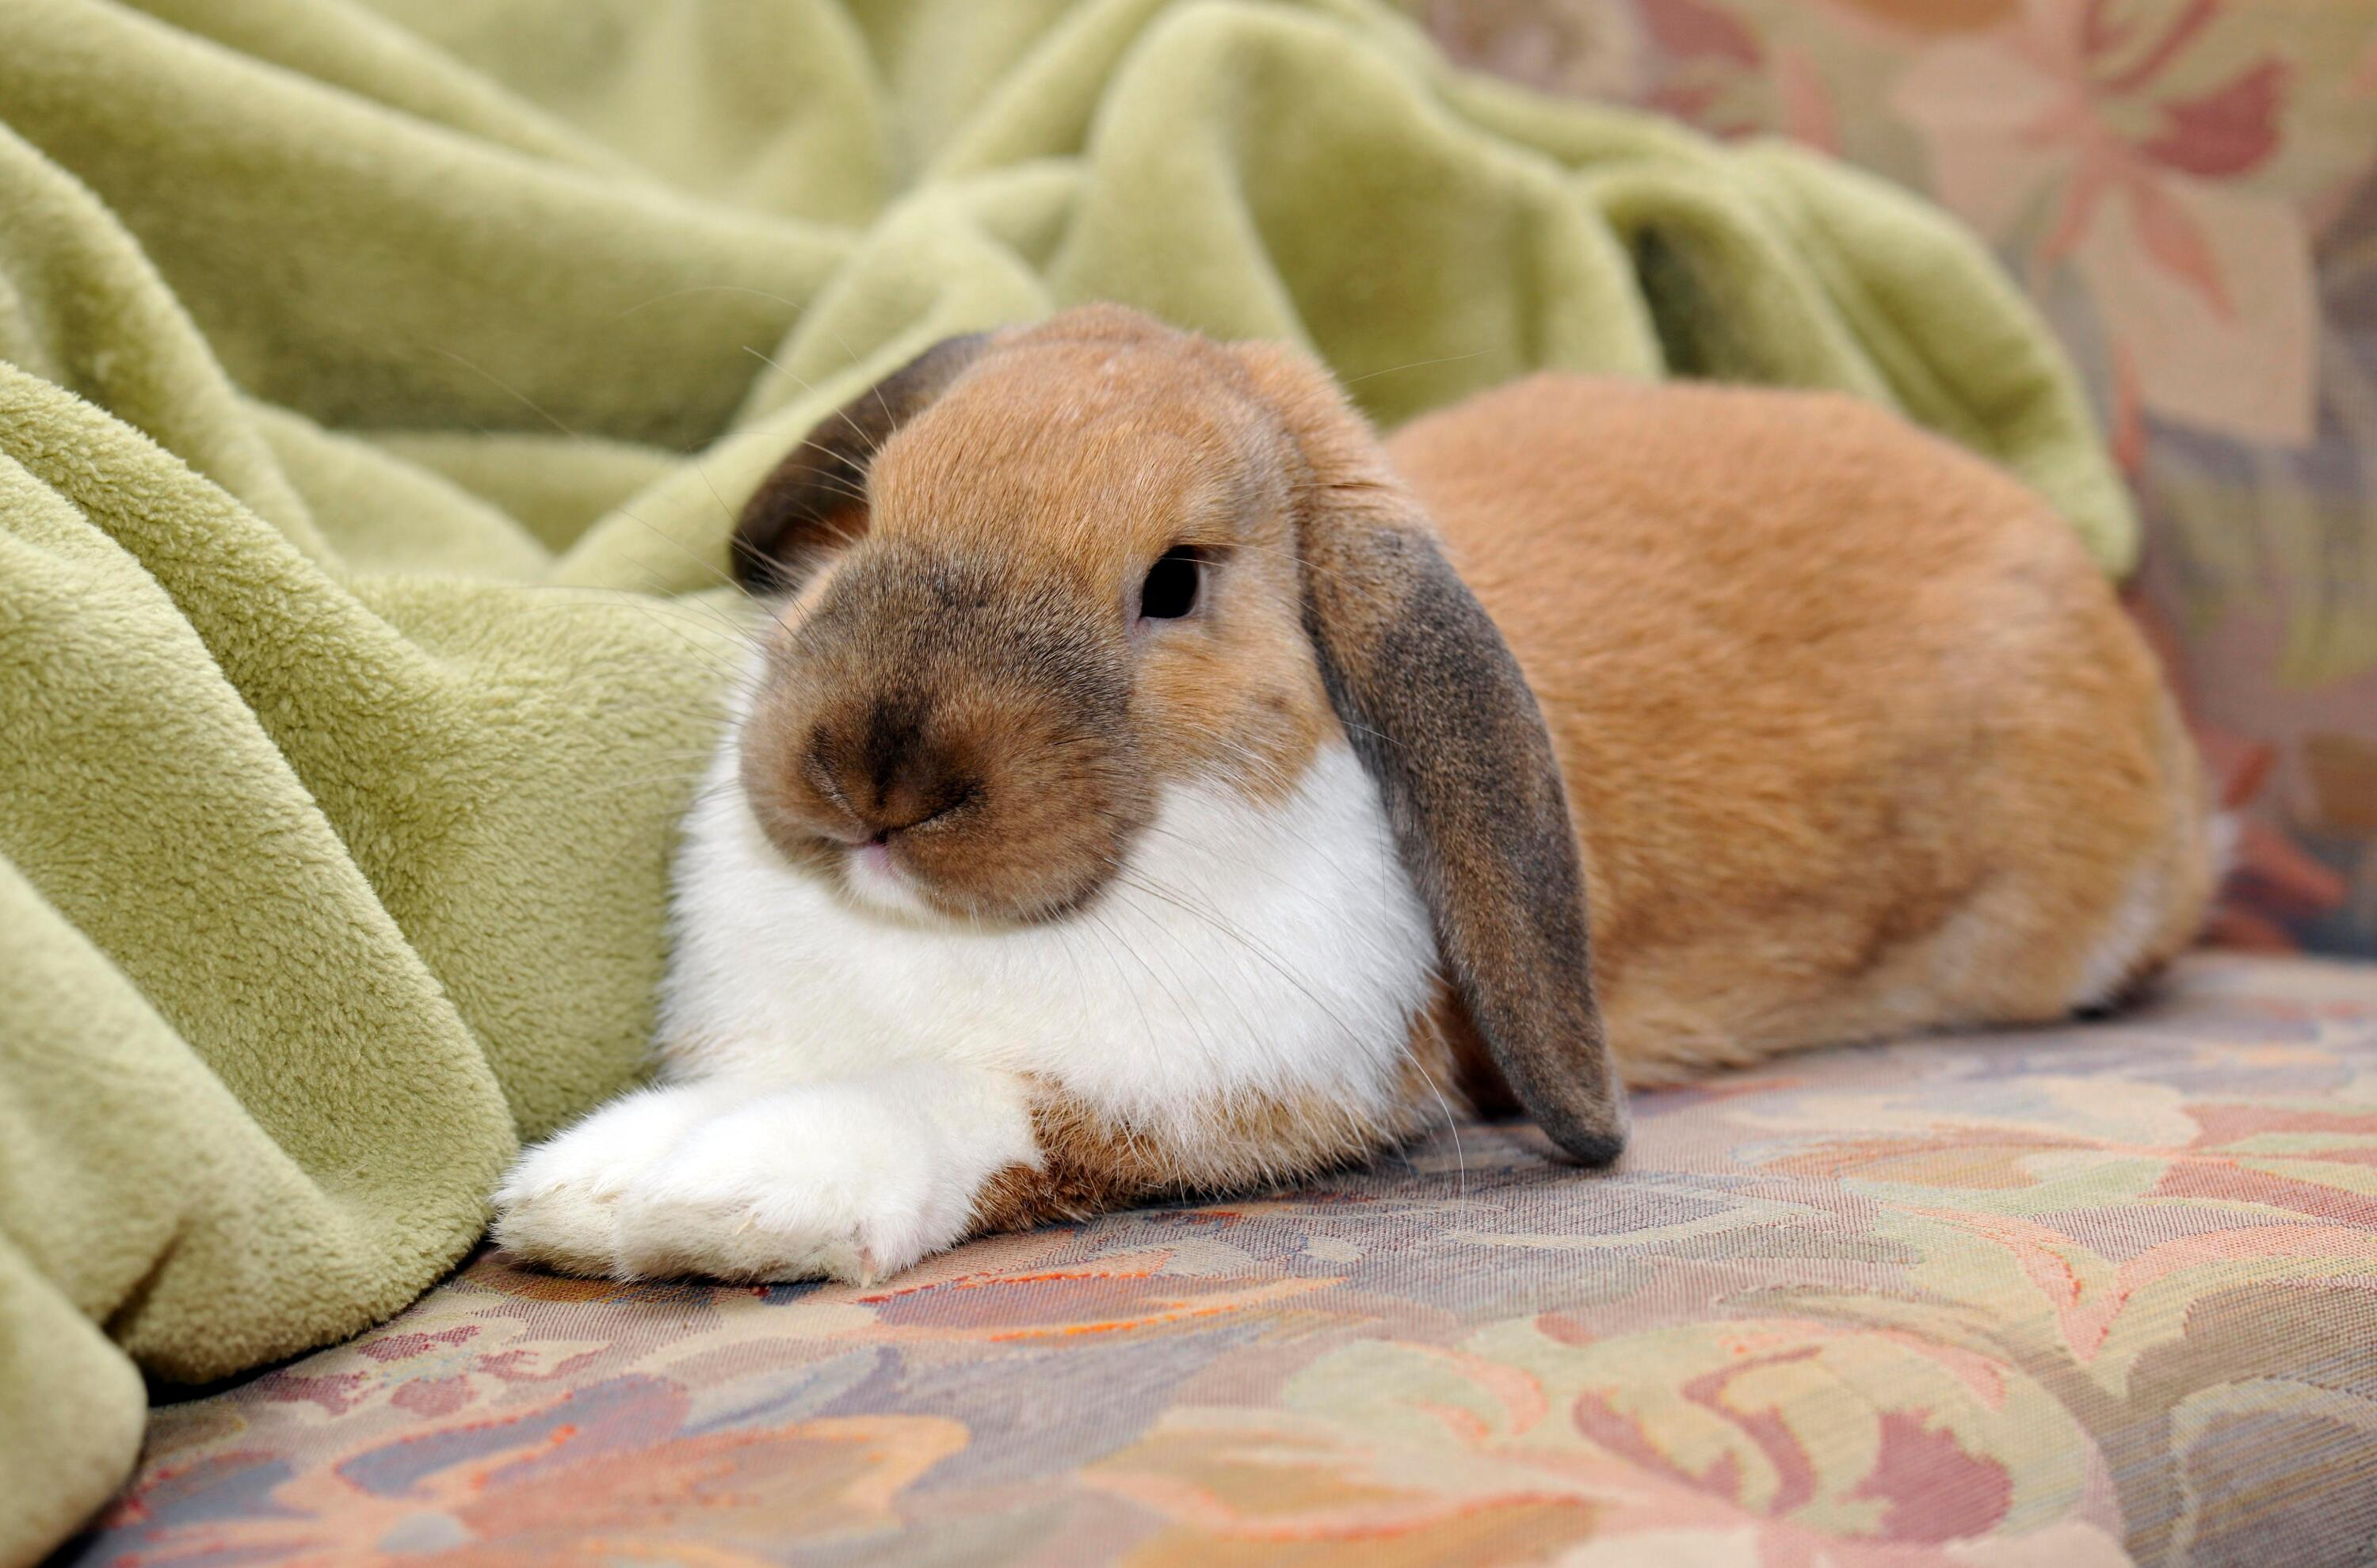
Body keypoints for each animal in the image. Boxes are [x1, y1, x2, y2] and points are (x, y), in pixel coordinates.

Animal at [492, 303, 2211, 1285]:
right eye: (876, 507)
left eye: (1175, 582)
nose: (871, 772)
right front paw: (600, 1178)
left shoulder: (1205, 1095)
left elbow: (979, 1107)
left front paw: (684, 1196)